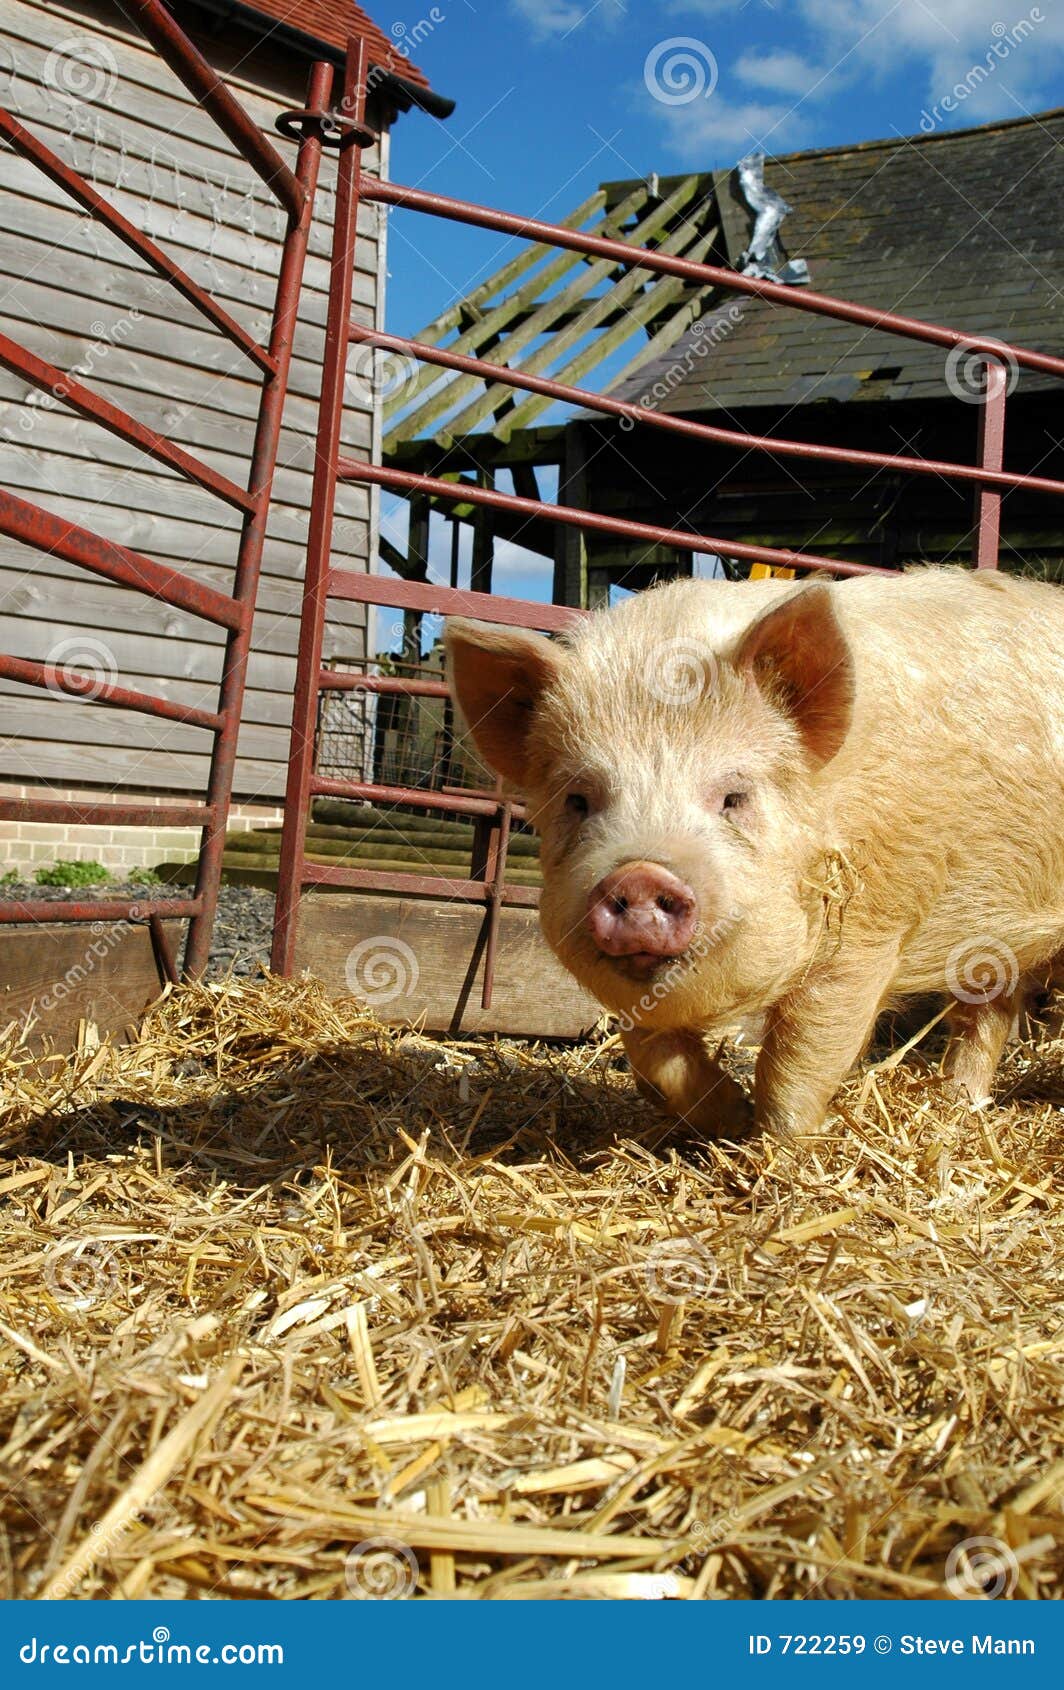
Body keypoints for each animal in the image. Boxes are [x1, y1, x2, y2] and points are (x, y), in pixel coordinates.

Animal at [446, 568, 1064, 1140]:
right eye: (578, 799)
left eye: (733, 797)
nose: (640, 876)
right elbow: (655, 1055)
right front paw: (728, 1121)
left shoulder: (870, 929)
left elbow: (803, 1054)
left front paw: (778, 1150)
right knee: (992, 1009)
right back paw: (959, 1103)